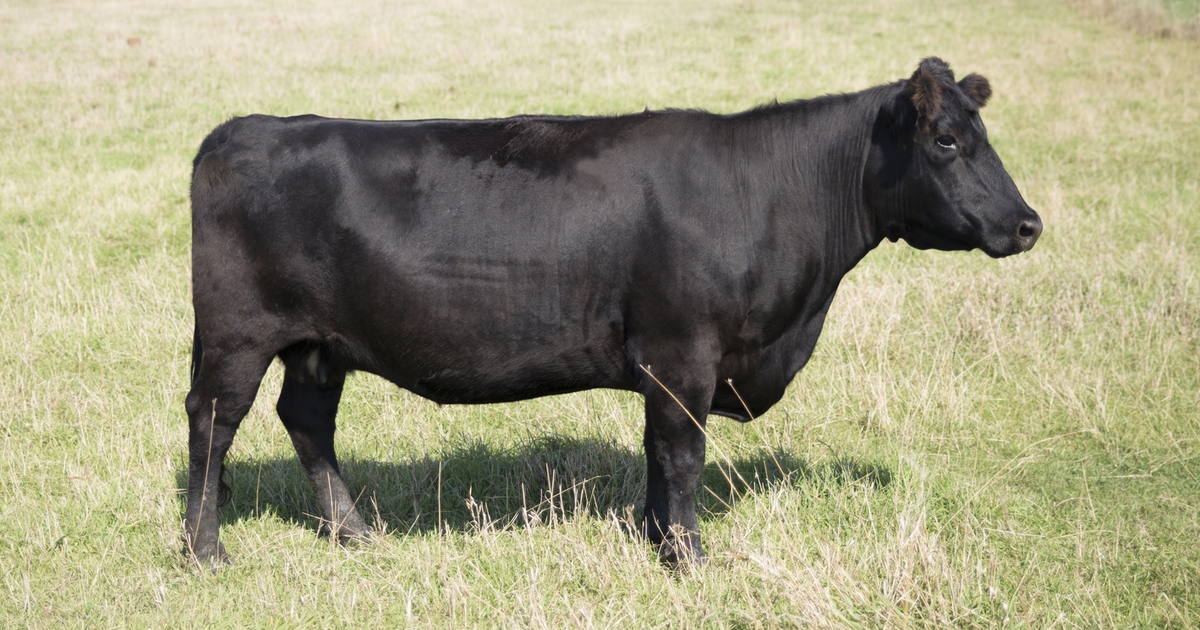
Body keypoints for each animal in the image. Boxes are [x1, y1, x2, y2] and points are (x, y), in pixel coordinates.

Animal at [183, 57, 1041, 566]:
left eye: (981, 132)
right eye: (946, 140)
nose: (1028, 223)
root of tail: (243, 128)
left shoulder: (666, 368)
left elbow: (658, 456)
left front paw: (656, 537)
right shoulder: (685, 352)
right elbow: (684, 456)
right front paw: (690, 558)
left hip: (319, 343)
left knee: (307, 420)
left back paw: (355, 531)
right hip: (236, 335)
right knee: (213, 425)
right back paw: (204, 548)